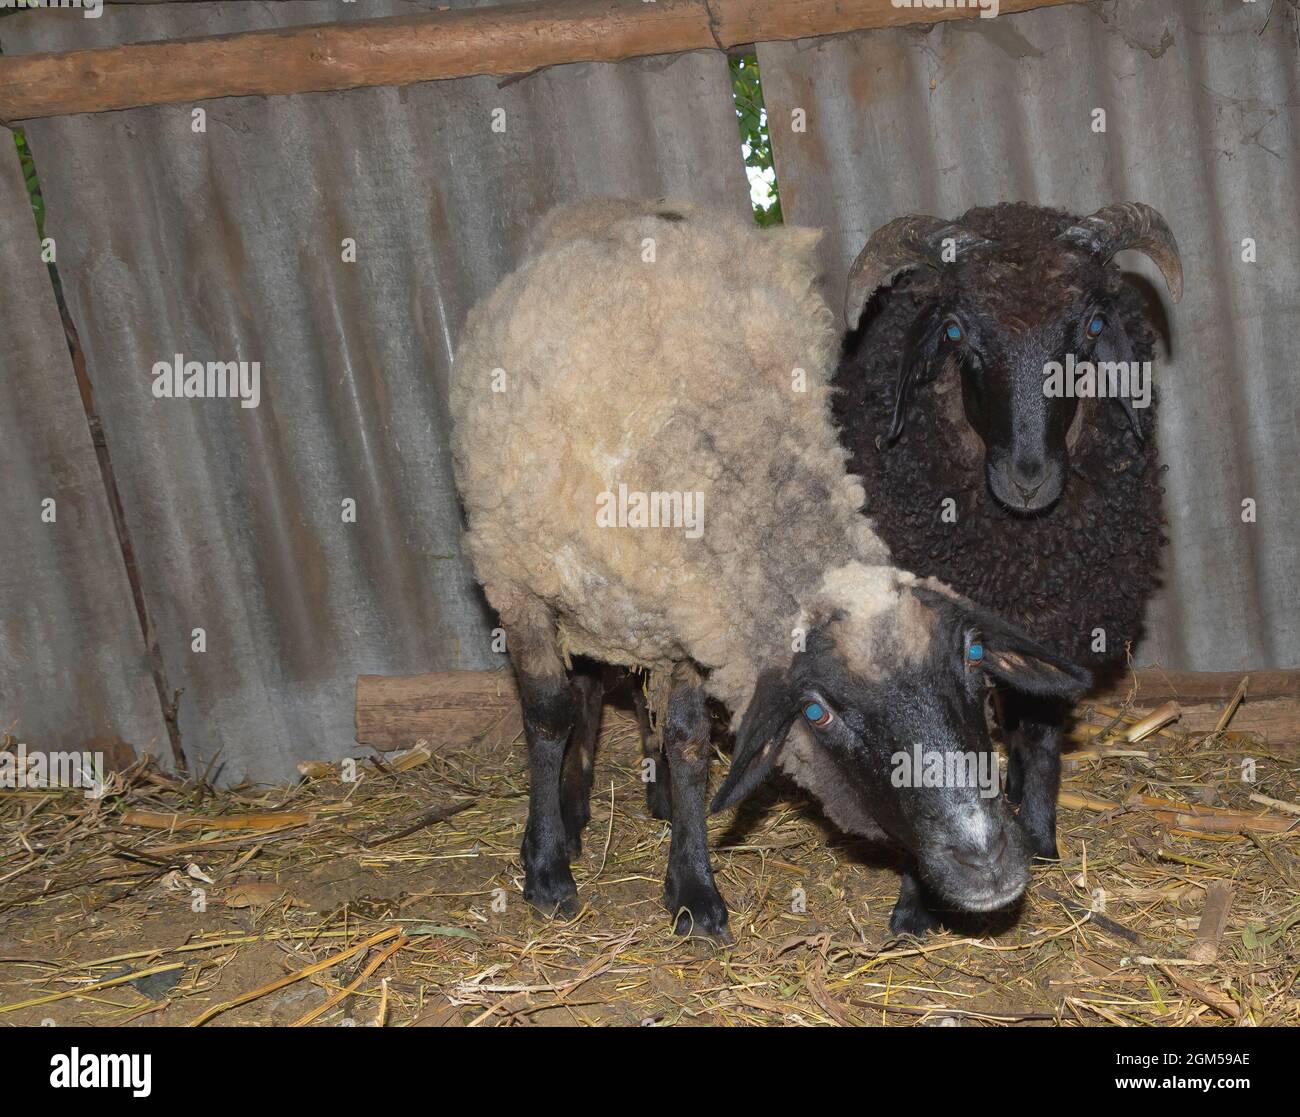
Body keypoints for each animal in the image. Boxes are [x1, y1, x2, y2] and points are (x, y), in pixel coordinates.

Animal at [449, 198, 1091, 940]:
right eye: (818, 712)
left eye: (976, 663)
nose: (986, 860)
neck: (725, 448)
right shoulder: (519, 583)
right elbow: (548, 716)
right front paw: (548, 867)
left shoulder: (688, 619)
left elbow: (690, 742)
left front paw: (692, 886)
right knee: (574, 692)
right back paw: (569, 817)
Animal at [834, 201, 1182, 862]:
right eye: (954, 334)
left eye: (1093, 326)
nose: (1028, 477)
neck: (1022, 555)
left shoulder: (1059, 626)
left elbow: (1041, 735)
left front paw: (1040, 837)